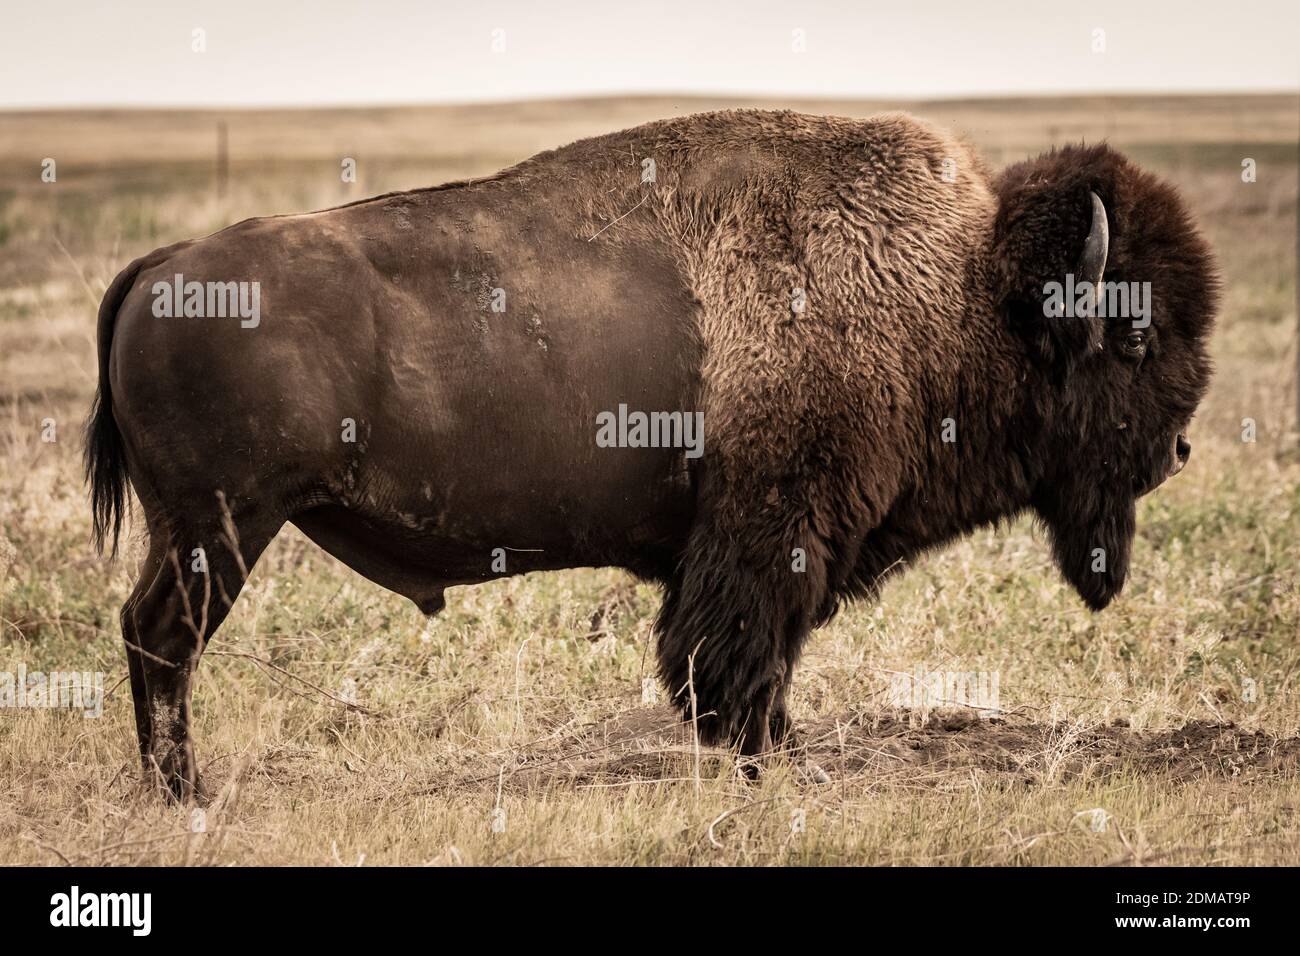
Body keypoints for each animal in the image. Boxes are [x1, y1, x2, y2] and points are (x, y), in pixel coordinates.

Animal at [85, 110, 1218, 798]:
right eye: (1133, 334)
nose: (1176, 449)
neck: (960, 292)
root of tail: (161, 264)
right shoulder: (768, 540)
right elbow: (737, 662)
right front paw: (763, 763)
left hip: (208, 527)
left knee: (149, 634)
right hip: (222, 525)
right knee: (160, 635)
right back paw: (183, 792)